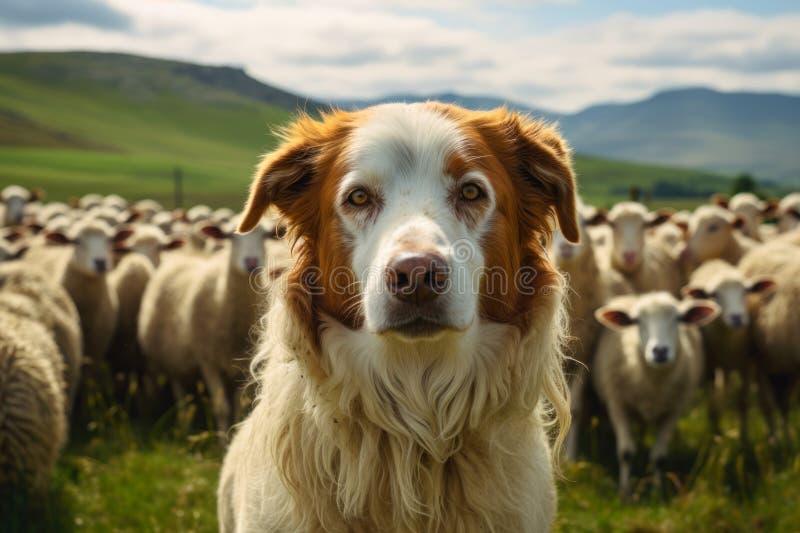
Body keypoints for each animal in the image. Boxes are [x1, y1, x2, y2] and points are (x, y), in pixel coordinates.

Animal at [138, 219, 280, 433]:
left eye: (265, 236)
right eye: (230, 237)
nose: (251, 262)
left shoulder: (243, 367)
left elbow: (239, 408)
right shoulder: (207, 361)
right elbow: (221, 408)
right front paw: (222, 439)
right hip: (172, 359)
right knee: (180, 394)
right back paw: (183, 426)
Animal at [593, 292, 719, 498]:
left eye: (679, 319)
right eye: (637, 321)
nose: (660, 351)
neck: (654, 385)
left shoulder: (674, 410)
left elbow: (659, 457)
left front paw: (657, 492)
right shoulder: (617, 403)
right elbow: (625, 452)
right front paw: (625, 492)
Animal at [683, 259, 775, 441]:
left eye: (745, 291)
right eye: (714, 295)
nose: (737, 318)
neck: (729, 340)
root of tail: (714, 261)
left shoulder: (747, 363)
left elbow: (743, 401)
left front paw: (743, 437)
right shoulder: (709, 366)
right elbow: (711, 403)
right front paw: (715, 434)